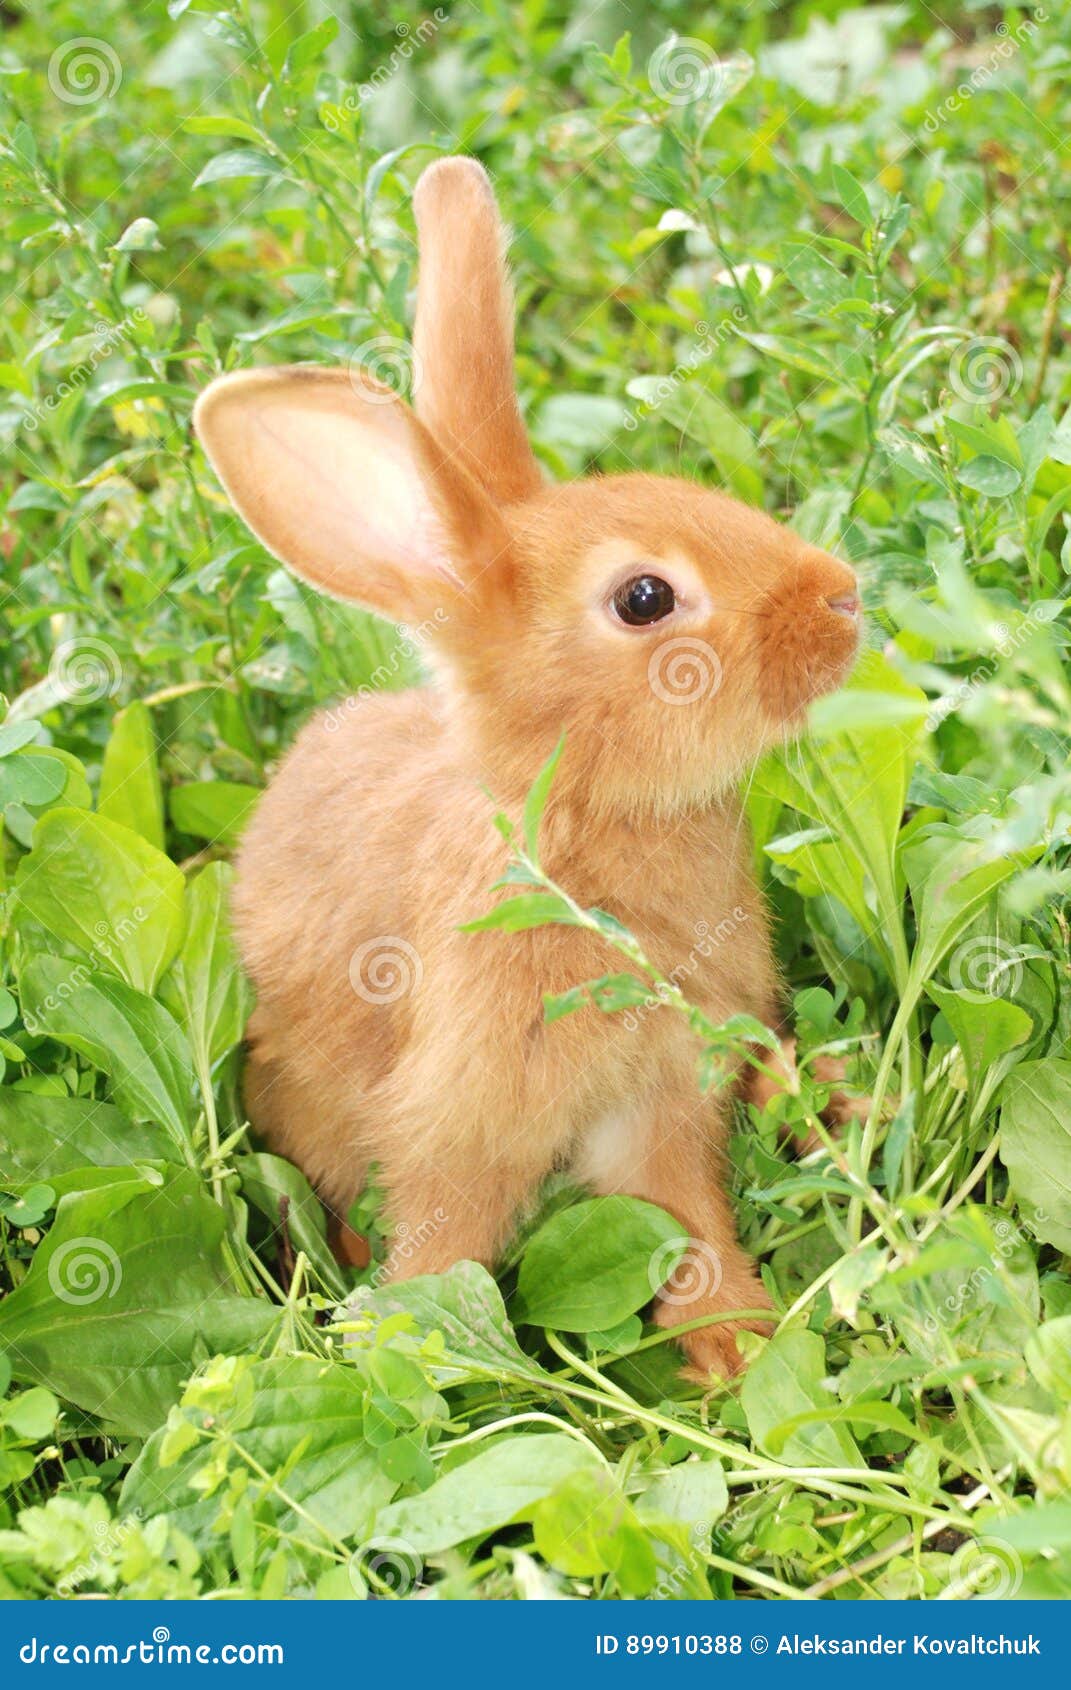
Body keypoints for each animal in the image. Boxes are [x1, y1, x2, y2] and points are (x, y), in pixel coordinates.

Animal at [193, 156, 860, 1381]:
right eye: (644, 597)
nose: (842, 598)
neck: (577, 835)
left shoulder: (660, 1100)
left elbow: (682, 1221)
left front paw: (742, 1352)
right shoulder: (460, 1122)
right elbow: (442, 1242)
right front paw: (399, 1358)